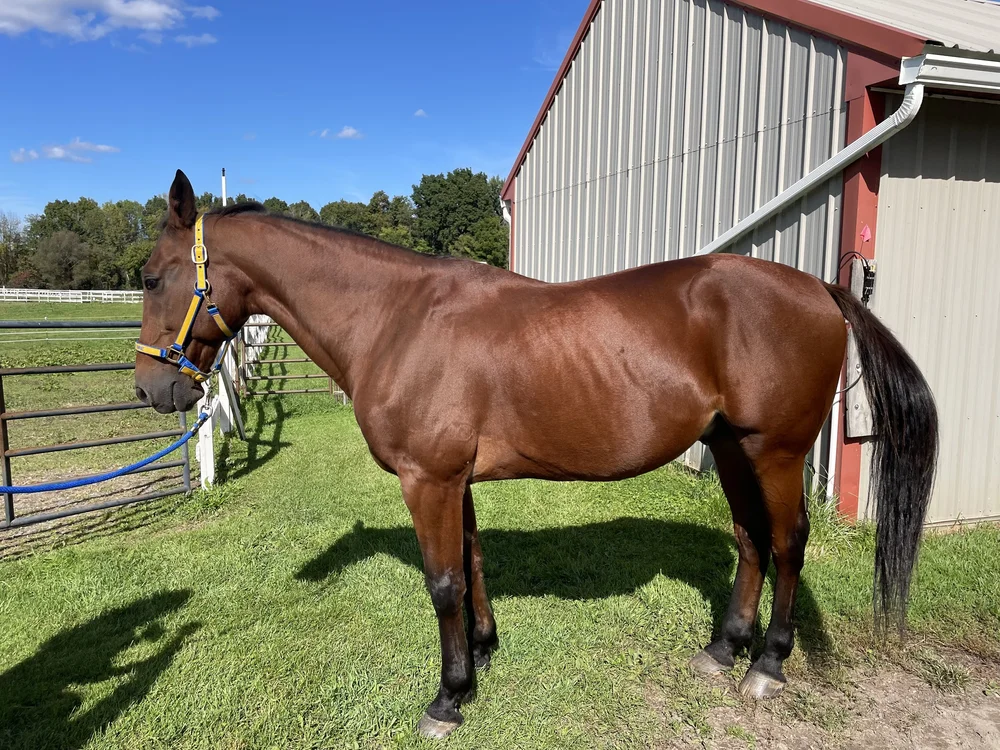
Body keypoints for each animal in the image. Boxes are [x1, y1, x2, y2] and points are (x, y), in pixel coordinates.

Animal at [135, 170, 938, 739]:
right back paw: (722, 649)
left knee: (788, 542)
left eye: (150, 276)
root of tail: (820, 287)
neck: (396, 318)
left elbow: (443, 584)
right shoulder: (454, 480)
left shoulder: (428, 480)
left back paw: (767, 664)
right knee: (749, 540)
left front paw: (448, 698)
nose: (150, 388)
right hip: (731, 448)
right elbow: (473, 563)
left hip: (775, 450)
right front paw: (482, 655)